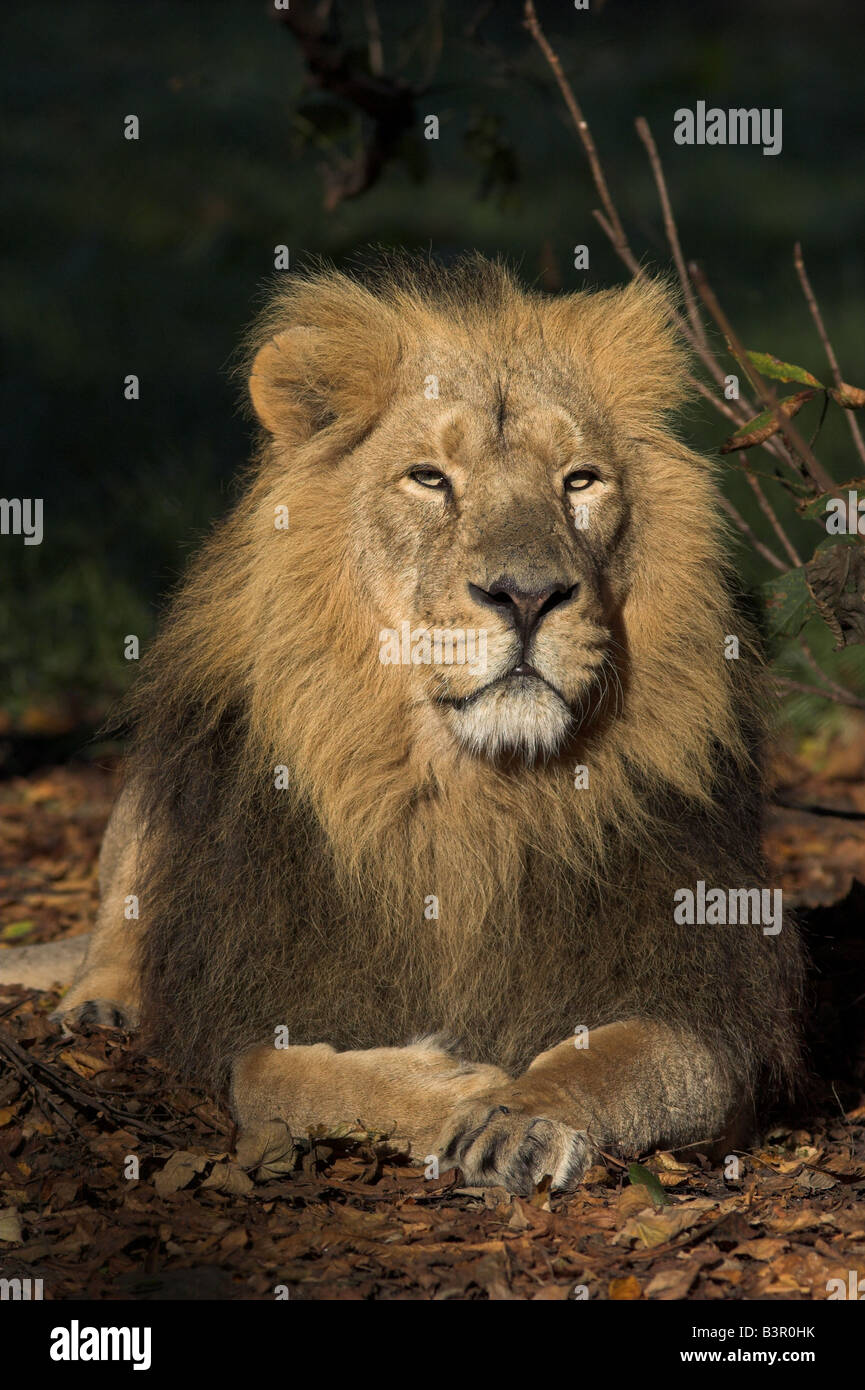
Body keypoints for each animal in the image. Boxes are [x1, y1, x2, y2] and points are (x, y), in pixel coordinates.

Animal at [36, 254, 805, 1193]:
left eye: (580, 481)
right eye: (429, 479)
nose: (527, 596)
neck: (471, 793)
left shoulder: (707, 1001)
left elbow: (619, 1060)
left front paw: (517, 1114)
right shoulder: (260, 984)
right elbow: (271, 1078)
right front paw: (449, 1092)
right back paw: (100, 1002)